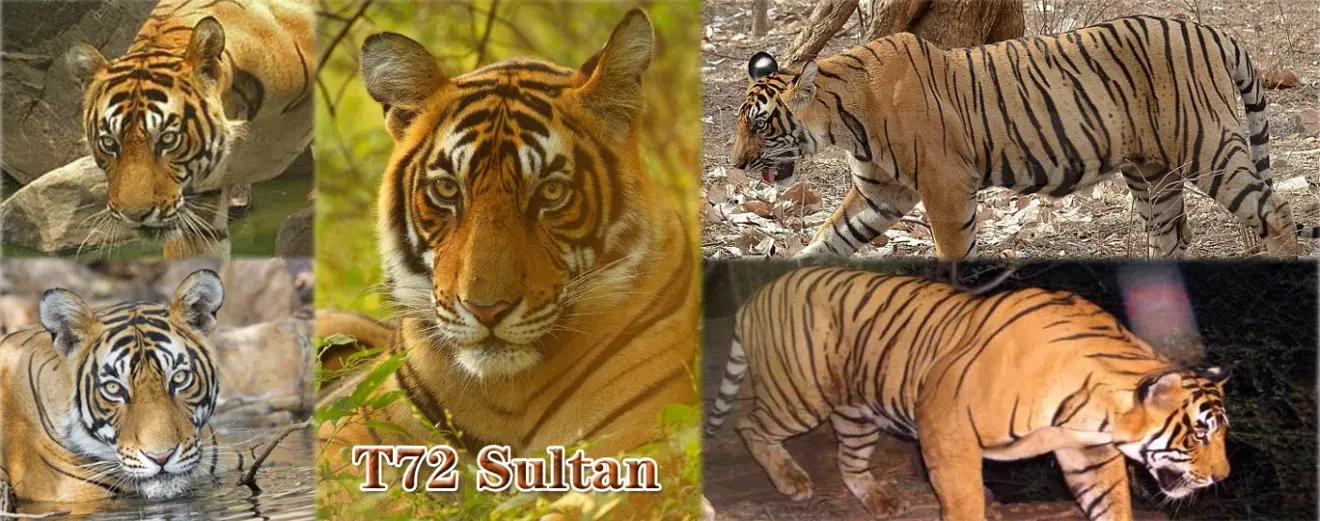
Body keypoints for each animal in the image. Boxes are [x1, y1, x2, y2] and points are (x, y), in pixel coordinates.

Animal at [705, 266, 1230, 521]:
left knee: (848, 461)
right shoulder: (946, 431)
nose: (1222, 478)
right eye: (1198, 436)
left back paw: (879, 501)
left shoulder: (1089, 455)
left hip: (856, 414)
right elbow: (963, 501)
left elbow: (1111, 503)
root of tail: (756, 295)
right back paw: (791, 481)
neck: (1095, 414)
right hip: (799, 394)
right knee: (748, 424)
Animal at [732, 15, 1314, 259]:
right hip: (1153, 178)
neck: (844, 118)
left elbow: (955, 250)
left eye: (760, 124)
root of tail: (1211, 31)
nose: (736, 165)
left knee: (1274, 211)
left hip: (1208, 149)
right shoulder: (881, 193)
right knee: (1172, 238)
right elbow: (829, 238)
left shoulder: (945, 187)